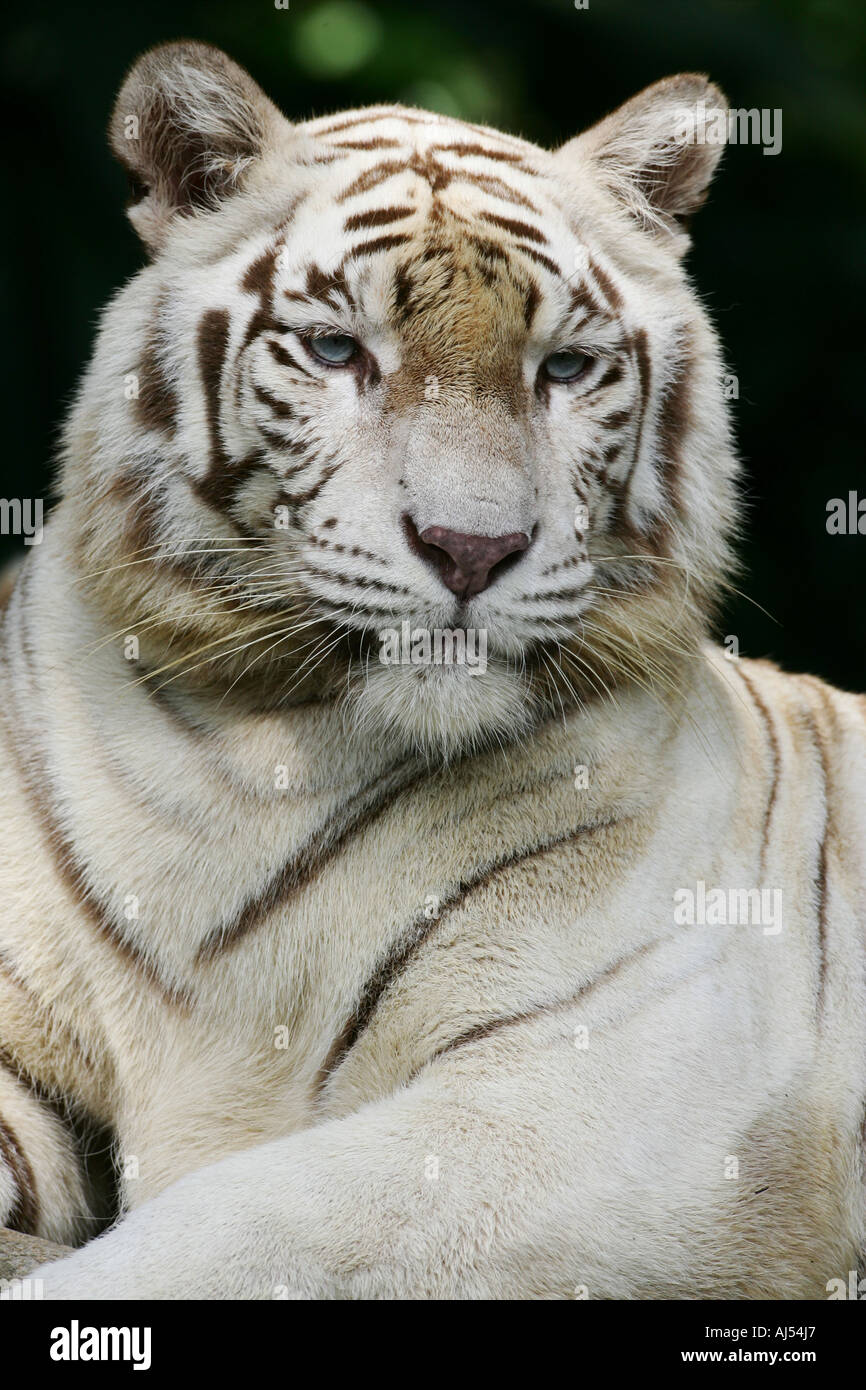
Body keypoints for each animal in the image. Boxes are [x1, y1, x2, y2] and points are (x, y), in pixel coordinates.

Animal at [0, 40, 864, 1301]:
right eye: (335, 350)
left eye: (565, 368)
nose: (470, 547)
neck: (251, 757)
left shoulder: (610, 1096)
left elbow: (249, 1228)